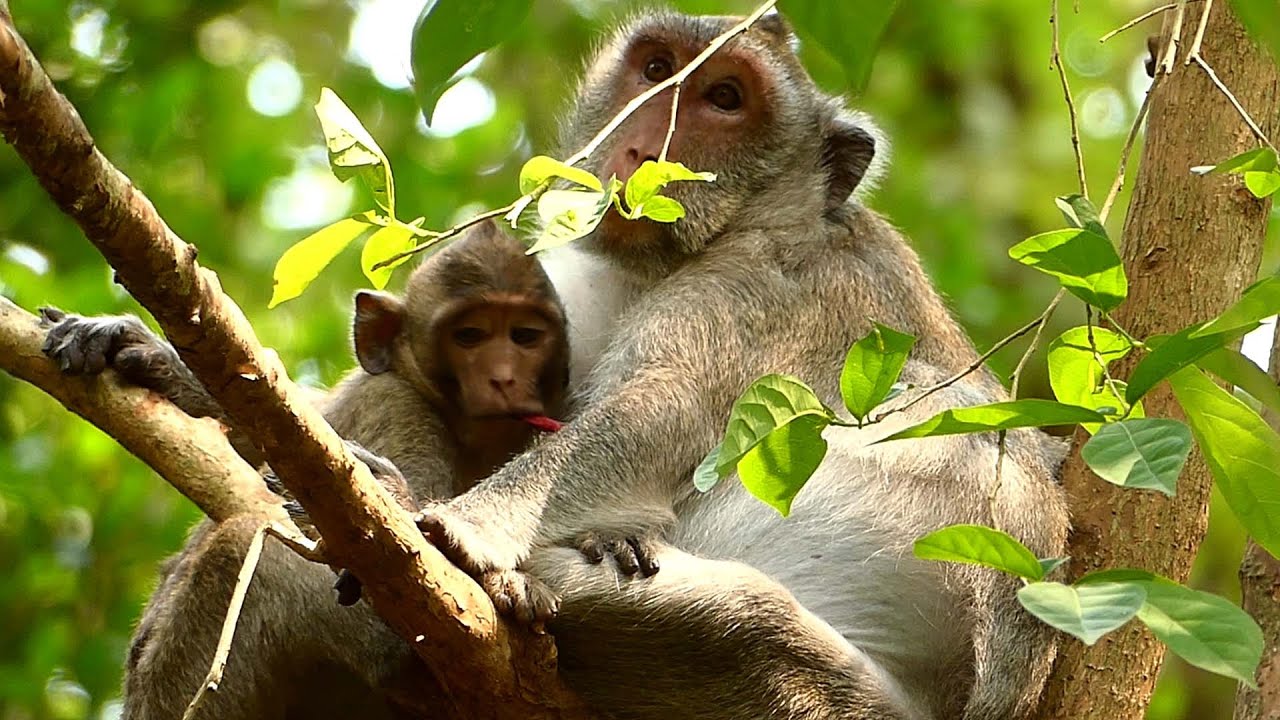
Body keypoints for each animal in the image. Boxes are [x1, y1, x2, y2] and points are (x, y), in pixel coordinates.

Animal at [403, 12, 1071, 720]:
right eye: (656, 69)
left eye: (725, 99)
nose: (642, 152)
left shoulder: (759, 287)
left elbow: (660, 411)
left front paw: (468, 525)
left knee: (750, 622)